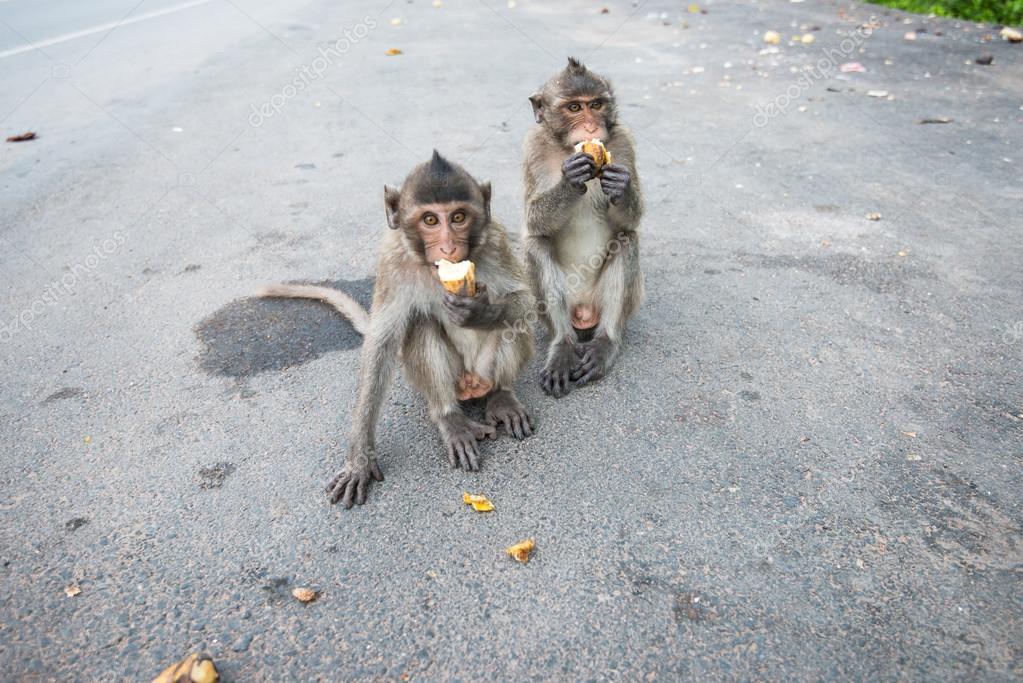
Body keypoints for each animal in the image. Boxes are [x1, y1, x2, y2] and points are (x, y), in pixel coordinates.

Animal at [258, 152, 535, 508]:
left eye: (458, 217)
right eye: (430, 220)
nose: (448, 248)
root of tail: (472, 383)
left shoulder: (496, 240)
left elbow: (526, 301)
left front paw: (482, 311)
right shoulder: (391, 258)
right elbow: (382, 344)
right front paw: (360, 458)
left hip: (482, 370)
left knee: (512, 326)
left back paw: (501, 395)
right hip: (449, 379)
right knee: (421, 325)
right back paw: (450, 419)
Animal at [523, 57, 644, 398]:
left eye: (597, 105)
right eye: (575, 107)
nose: (591, 127)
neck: (567, 148)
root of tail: (584, 312)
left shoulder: (624, 141)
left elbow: (631, 222)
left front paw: (620, 186)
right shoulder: (533, 147)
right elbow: (533, 221)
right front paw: (570, 180)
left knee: (626, 240)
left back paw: (605, 342)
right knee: (537, 243)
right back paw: (562, 345)